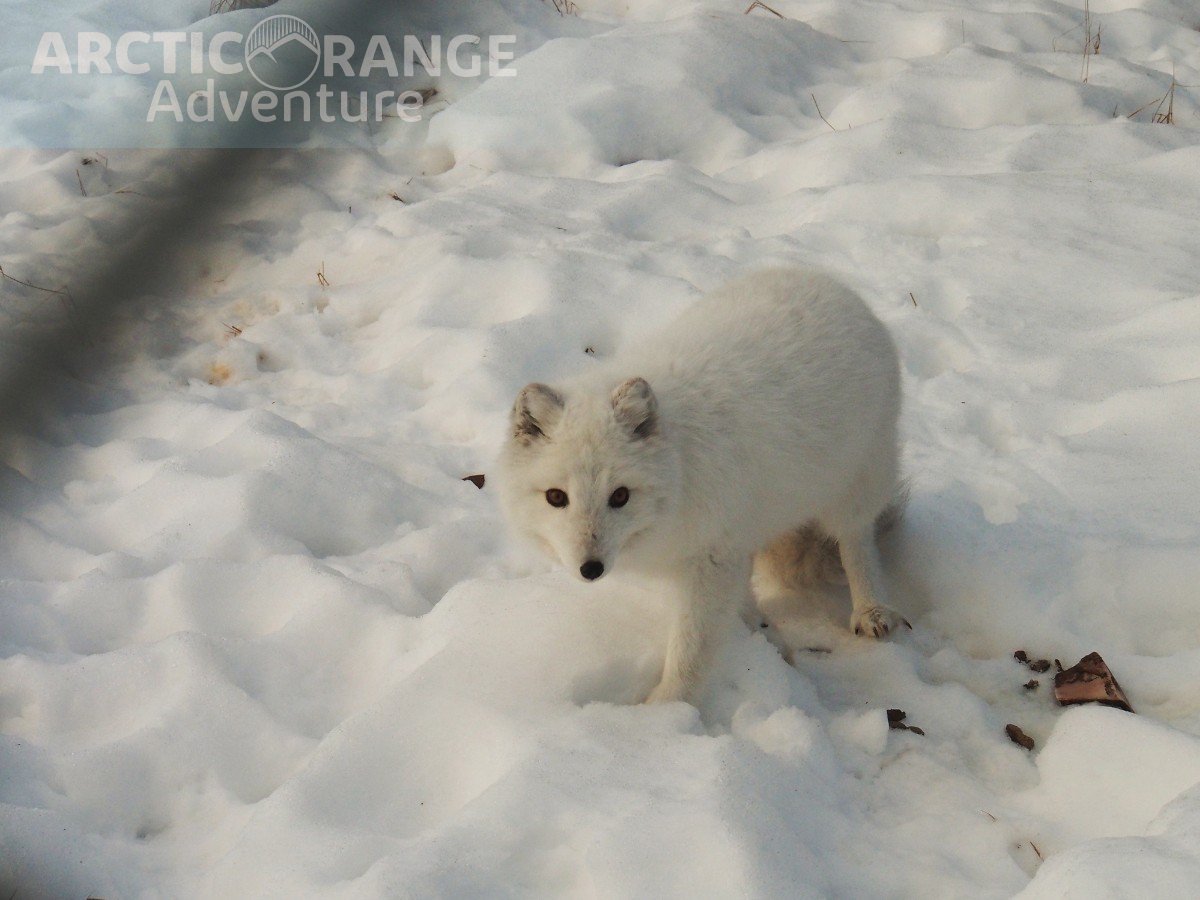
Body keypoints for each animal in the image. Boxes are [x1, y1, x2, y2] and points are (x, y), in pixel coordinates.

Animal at [494, 267, 907, 704]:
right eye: (556, 497)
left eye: (619, 496)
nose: (591, 569)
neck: (681, 466)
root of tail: (827, 280)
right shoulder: (728, 548)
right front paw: (758, 637)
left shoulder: (712, 560)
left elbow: (692, 650)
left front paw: (665, 709)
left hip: (859, 481)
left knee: (857, 540)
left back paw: (871, 609)